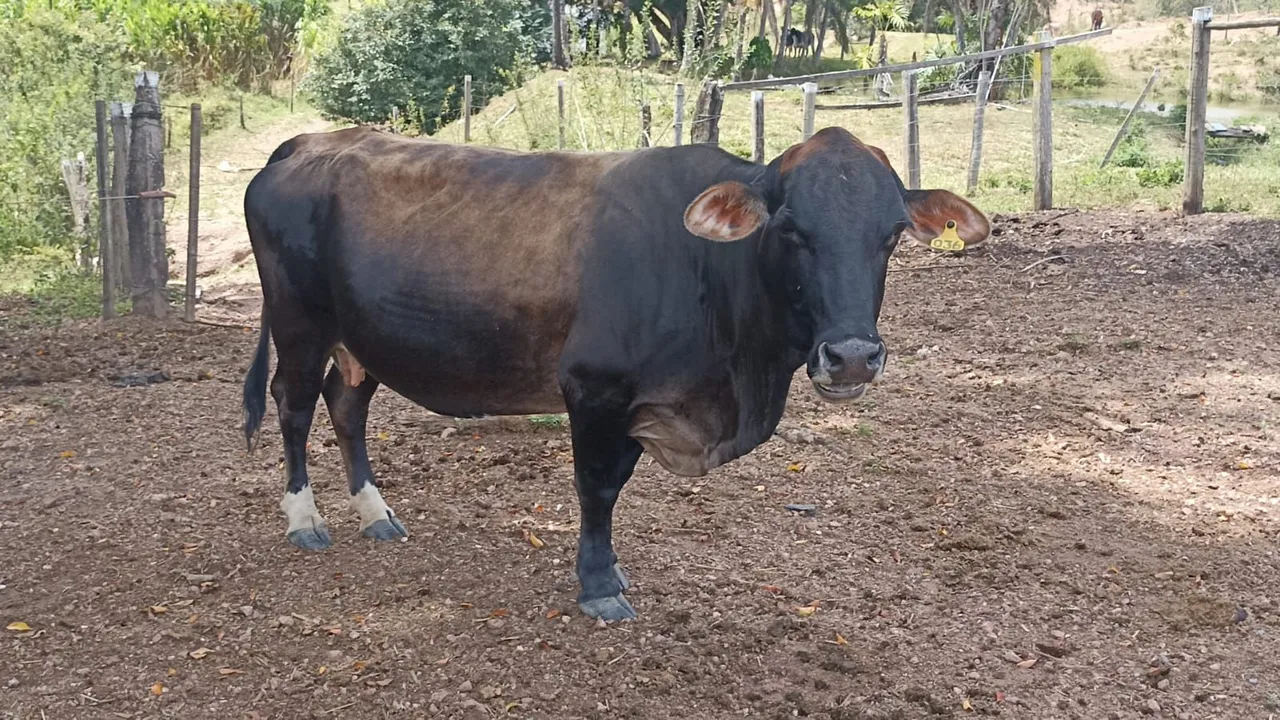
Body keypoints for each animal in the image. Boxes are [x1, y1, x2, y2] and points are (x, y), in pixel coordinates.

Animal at [241, 126, 990, 621]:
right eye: (790, 229)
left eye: (891, 235)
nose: (853, 355)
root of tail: (304, 141)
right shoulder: (595, 389)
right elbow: (598, 489)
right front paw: (599, 584)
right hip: (301, 325)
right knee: (294, 407)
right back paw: (304, 518)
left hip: (360, 340)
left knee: (346, 407)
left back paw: (376, 512)